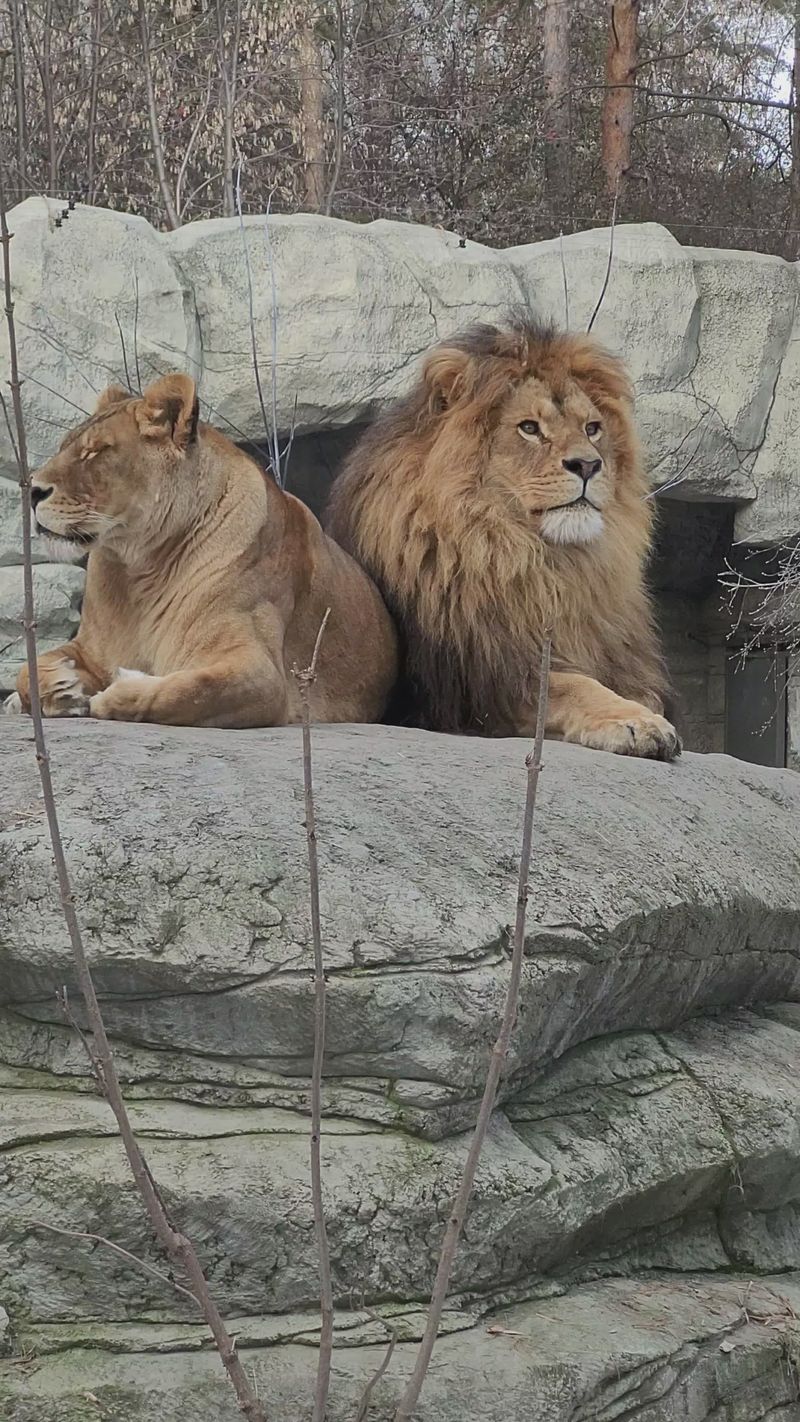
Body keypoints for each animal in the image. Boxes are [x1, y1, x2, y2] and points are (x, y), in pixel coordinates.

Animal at [7, 374, 397, 728]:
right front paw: (62, 690)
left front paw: (117, 691)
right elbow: (27, 669)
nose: (32, 491)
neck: (138, 571)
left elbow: (185, 692)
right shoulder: (91, 648)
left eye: (95, 451)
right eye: (64, 446)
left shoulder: (262, 673)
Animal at [325, 318, 679, 760]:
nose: (588, 464)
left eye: (592, 429)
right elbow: (572, 686)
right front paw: (636, 723)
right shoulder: (483, 685)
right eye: (529, 428)